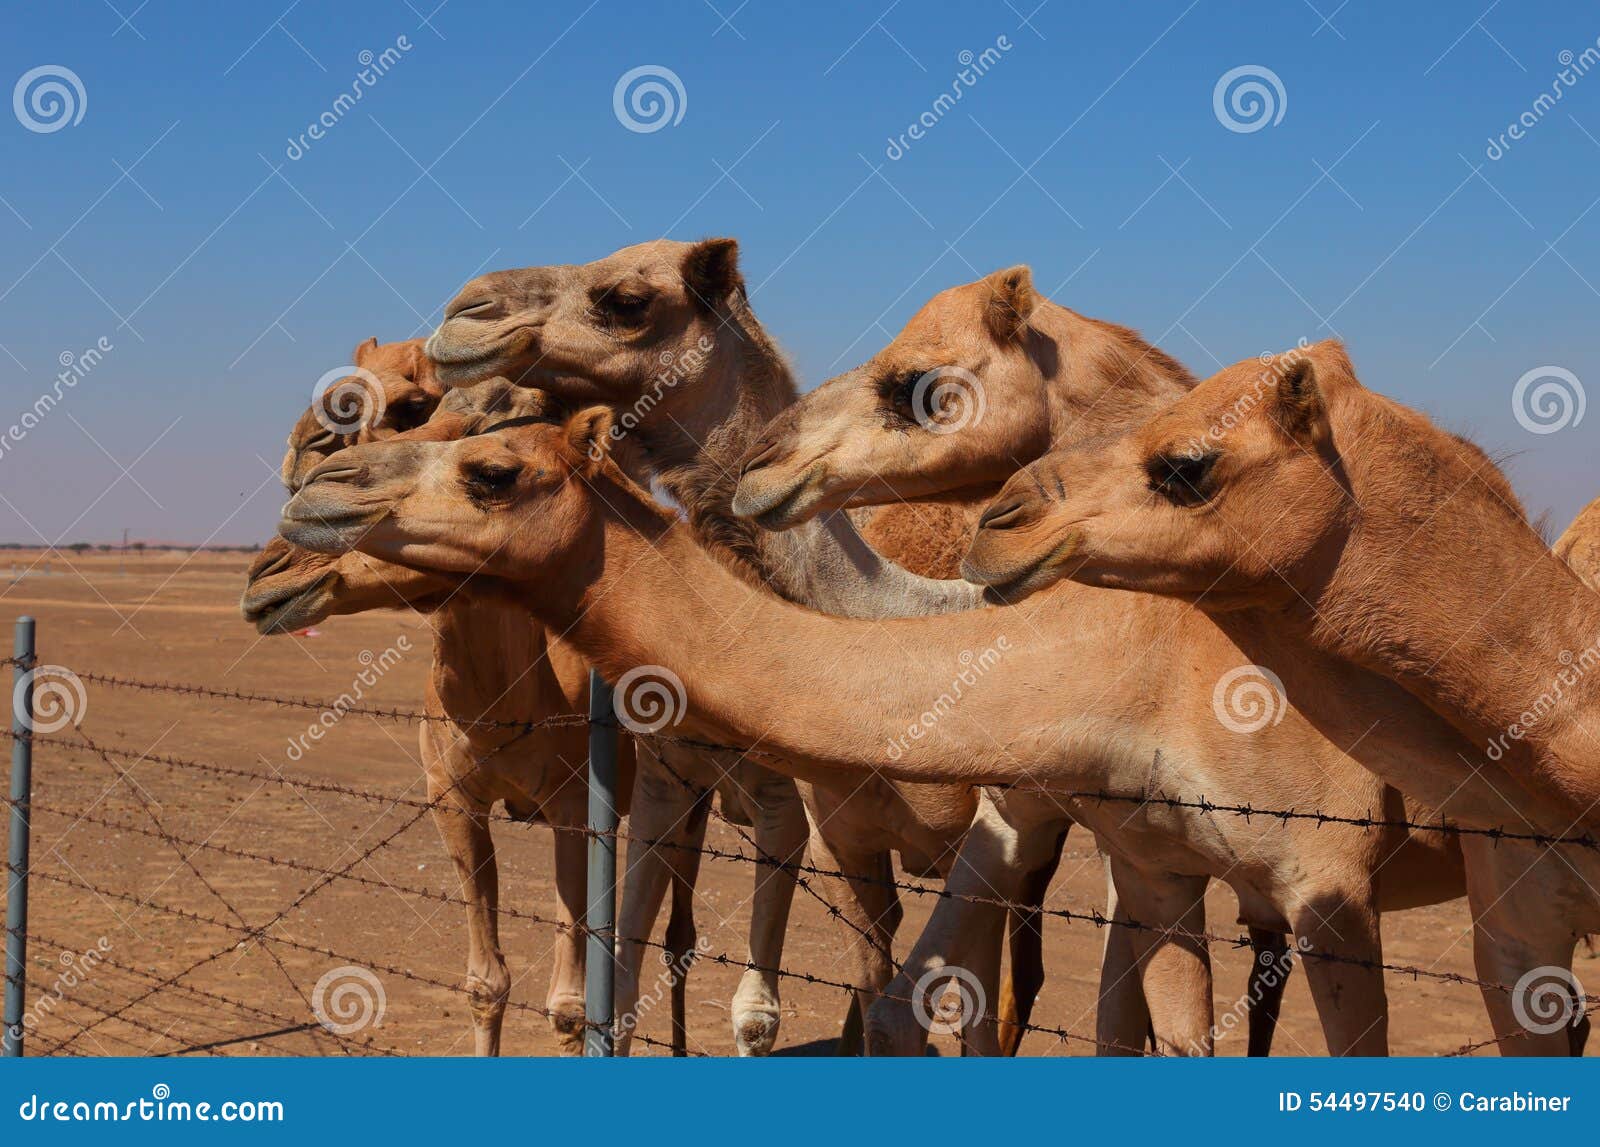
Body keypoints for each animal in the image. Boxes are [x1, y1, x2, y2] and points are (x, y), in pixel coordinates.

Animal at [251, 371, 808, 1057]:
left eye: (488, 466)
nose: (268, 572)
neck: (502, 712)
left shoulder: (574, 806)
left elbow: (568, 1002)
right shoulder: (453, 801)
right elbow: (485, 982)